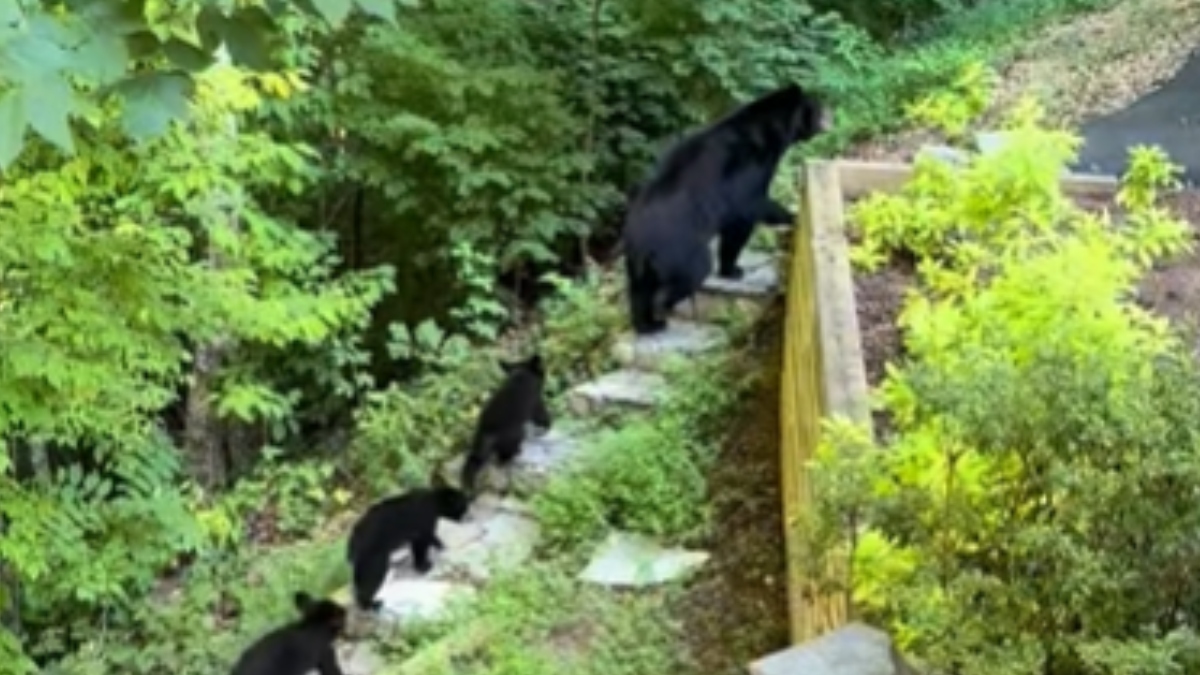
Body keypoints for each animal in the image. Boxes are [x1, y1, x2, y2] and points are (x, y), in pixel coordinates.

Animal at [346, 473, 471, 612]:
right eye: (463, 507)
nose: (463, 518)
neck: (434, 501)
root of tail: (353, 540)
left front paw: (437, 546)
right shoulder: (424, 523)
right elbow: (422, 544)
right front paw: (424, 565)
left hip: (362, 563)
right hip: (375, 559)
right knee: (371, 579)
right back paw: (372, 604)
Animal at [459, 353, 551, 495]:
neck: (521, 374)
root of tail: (489, 432)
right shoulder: (535, 400)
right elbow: (540, 413)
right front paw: (547, 425)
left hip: (477, 439)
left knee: (474, 458)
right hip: (515, 434)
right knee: (505, 454)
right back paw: (515, 454)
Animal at [621, 84, 833, 334]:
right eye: (818, 107)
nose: (831, 116)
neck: (769, 132)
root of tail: (641, 242)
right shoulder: (747, 167)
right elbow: (746, 211)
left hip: (636, 263)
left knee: (638, 290)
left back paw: (647, 325)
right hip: (680, 249)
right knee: (691, 272)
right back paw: (661, 311)